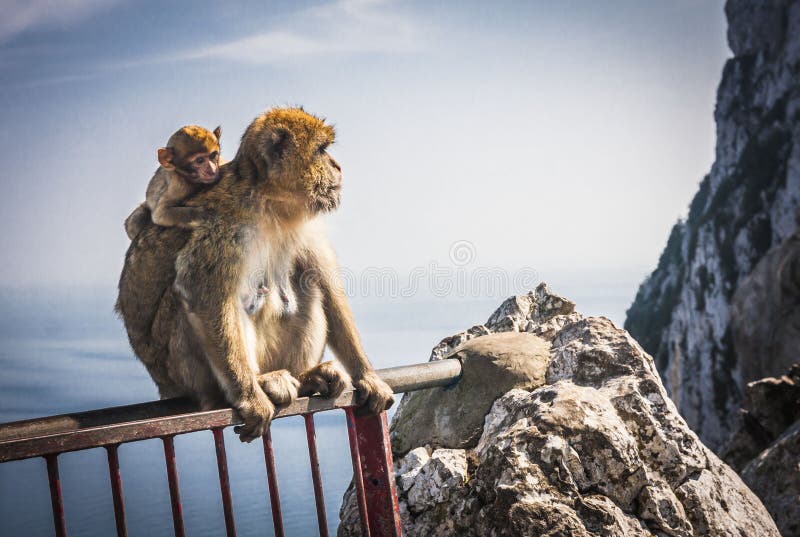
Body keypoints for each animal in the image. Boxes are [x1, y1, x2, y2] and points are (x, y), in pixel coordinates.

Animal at [117, 108, 394, 442]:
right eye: (321, 151)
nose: (337, 166)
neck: (272, 203)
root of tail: (163, 385)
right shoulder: (225, 225)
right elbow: (203, 294)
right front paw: (250, 399)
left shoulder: (308, 225)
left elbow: (328, 287)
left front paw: (367, 377)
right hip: (181, 373)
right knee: (185, 302)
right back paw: (257, 384)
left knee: (309, 286)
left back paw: (307, 377)